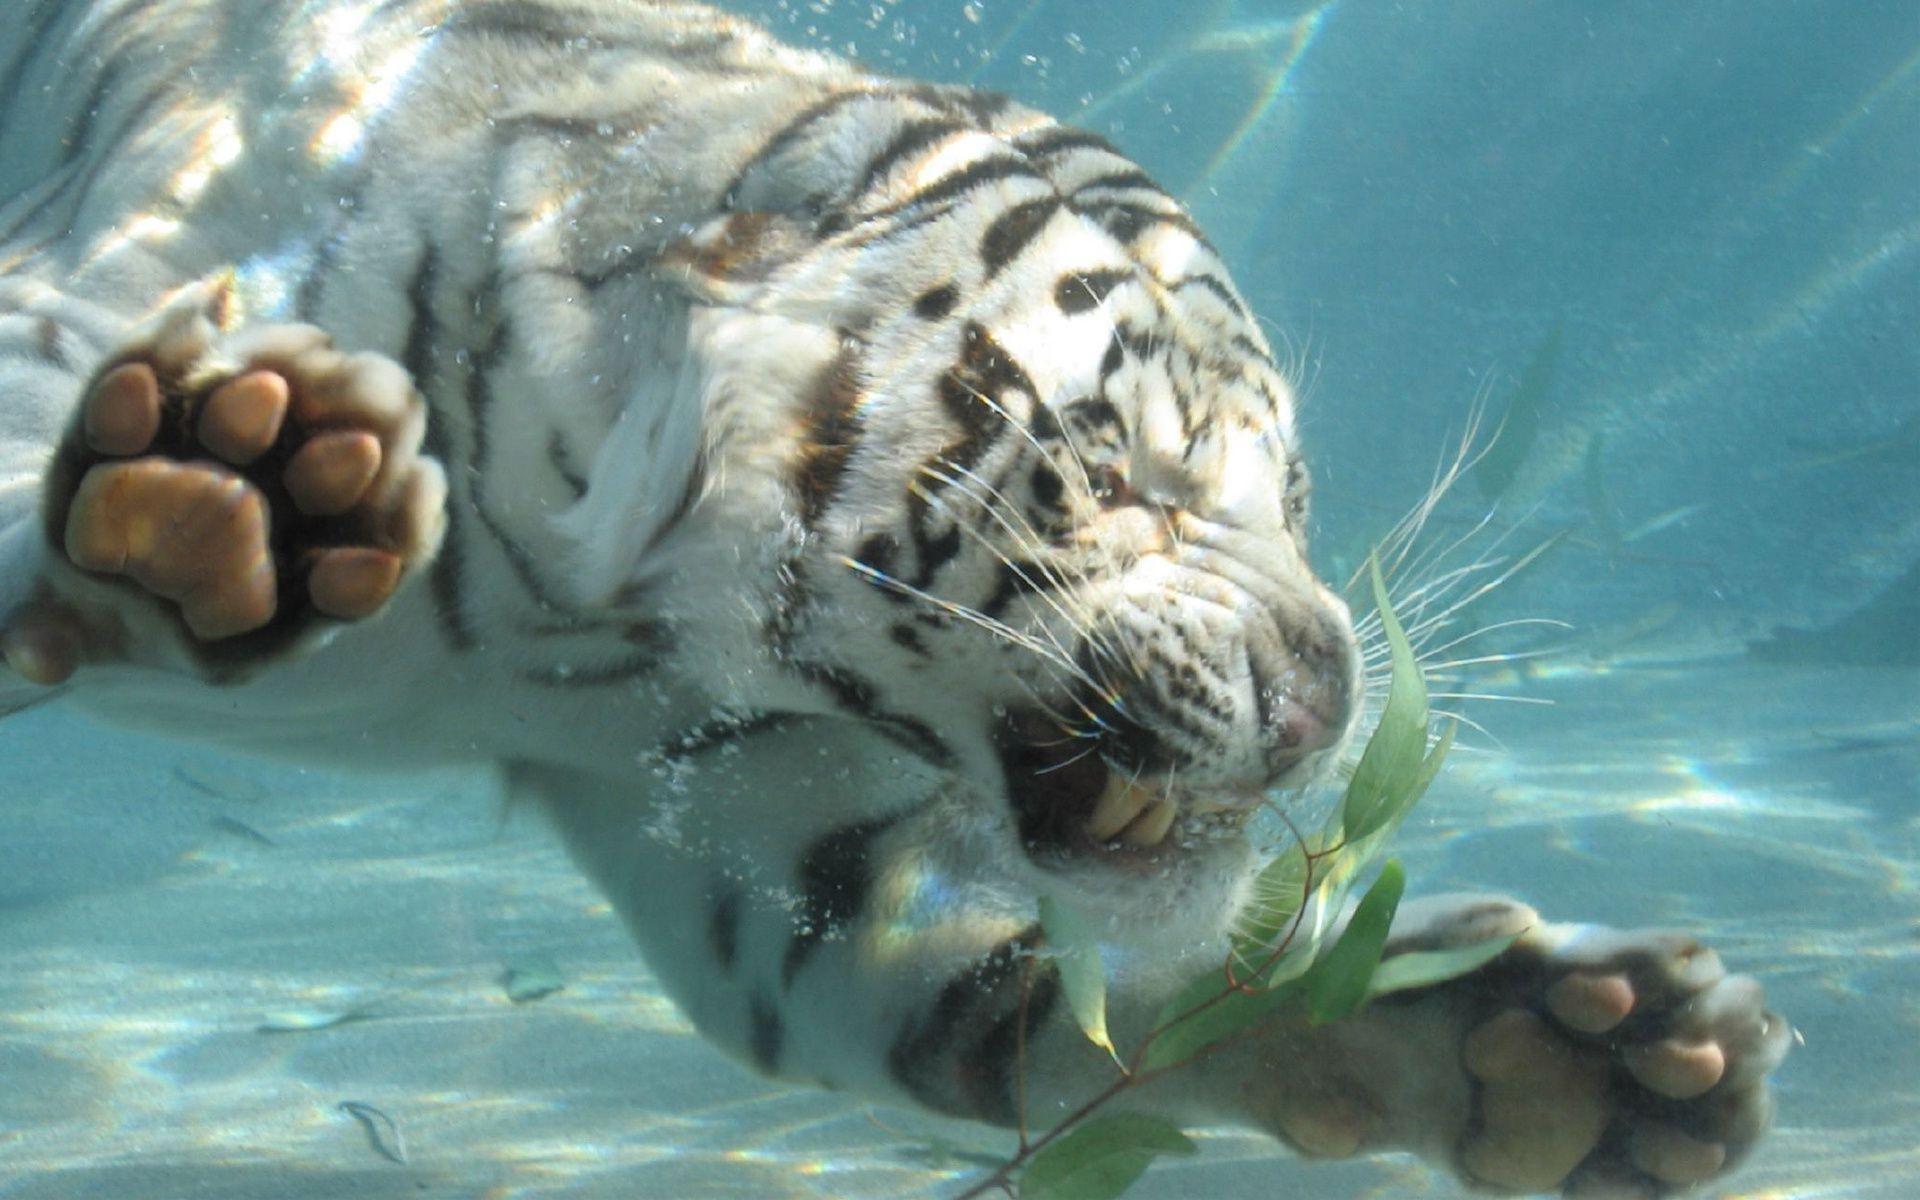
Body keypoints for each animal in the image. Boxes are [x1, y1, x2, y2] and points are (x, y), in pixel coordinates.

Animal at [0, 1, 1788, 1194]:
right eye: (1126, 469)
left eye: (1288, 501)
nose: (1329, 696)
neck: (587, 609)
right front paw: (245, 482)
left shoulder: (765, 832)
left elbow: (1055, 1007)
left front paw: (1558, 1051)